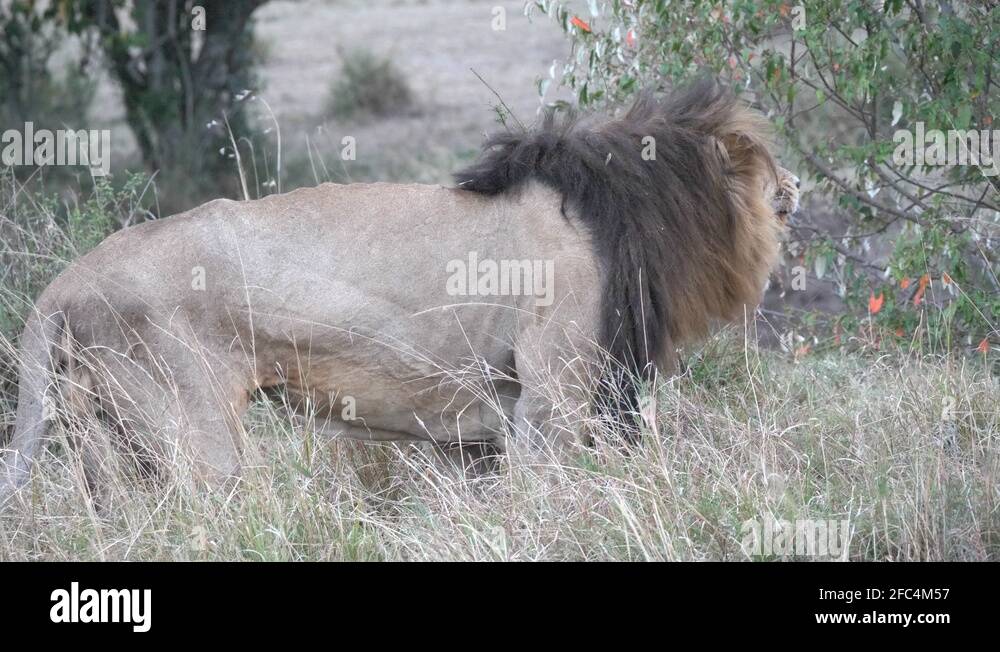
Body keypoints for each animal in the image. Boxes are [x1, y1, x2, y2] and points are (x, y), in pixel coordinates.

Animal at [1, 80, 797, 497]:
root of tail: (63, 284)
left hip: (108, 444)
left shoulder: (490, 423)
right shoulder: (556, 397)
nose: (795, 188)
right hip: (197, 435)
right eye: (765, 165)